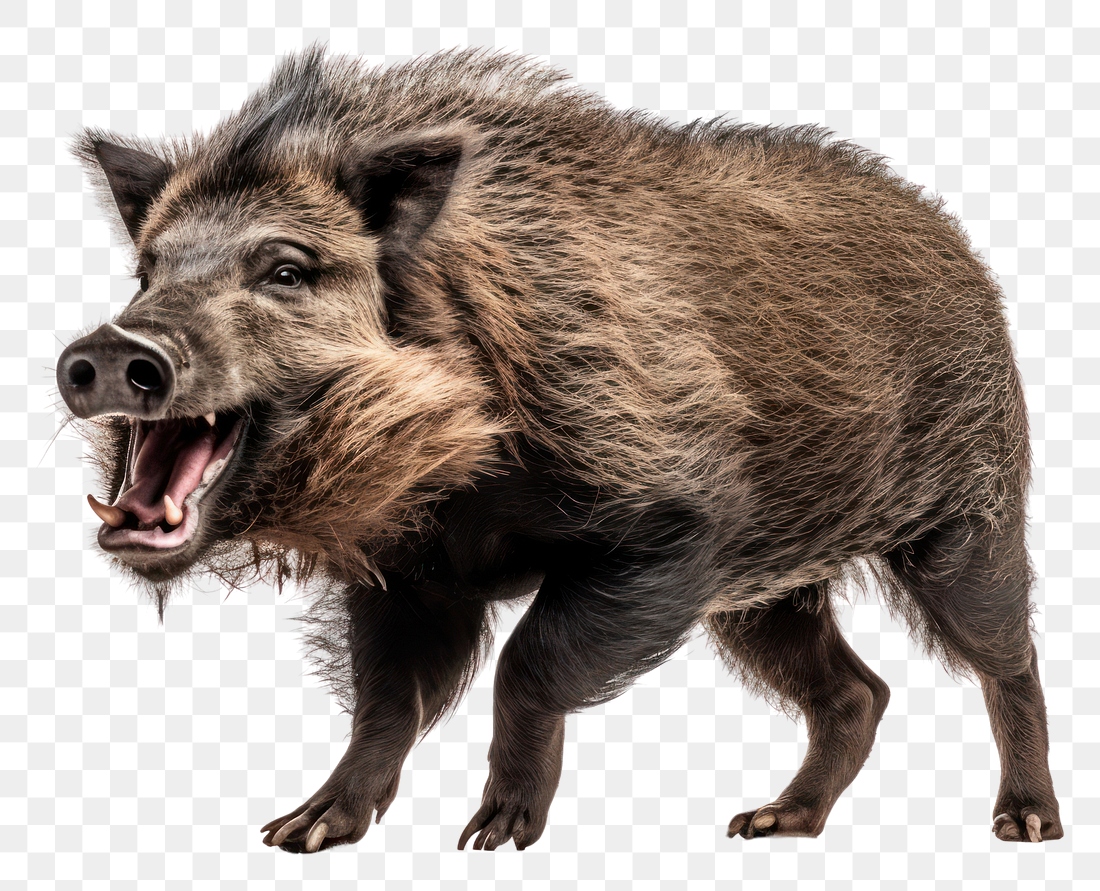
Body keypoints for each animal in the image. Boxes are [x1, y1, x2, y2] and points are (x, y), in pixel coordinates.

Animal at [56, 47, 1063, 851]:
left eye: (287, 269)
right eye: (145, 270)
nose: (108, 349)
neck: (462, 484)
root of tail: (961, 250)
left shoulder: (674, 530)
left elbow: (526, 663)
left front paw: (492, 838)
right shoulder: (407, 573)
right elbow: (386, 699)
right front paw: (299, 833)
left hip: (969, 507)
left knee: (1007, 652)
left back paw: (1025, 825)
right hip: (765, 590)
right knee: (857, 692)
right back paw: (767, 825)